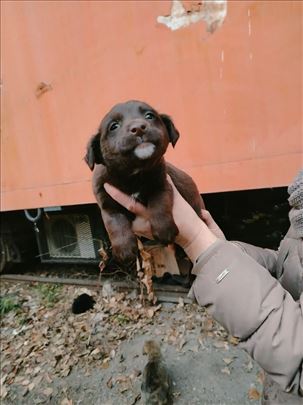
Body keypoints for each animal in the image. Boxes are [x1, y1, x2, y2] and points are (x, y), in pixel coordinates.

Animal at [85, 100, 204, 266]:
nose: (138, 128)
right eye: (114, 126)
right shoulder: (107, 203)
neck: (134, 174)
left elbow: (159, 205)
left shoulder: (162, 186)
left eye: (149, 116)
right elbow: (115, 223)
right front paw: (124, 250)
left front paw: (164, 231)